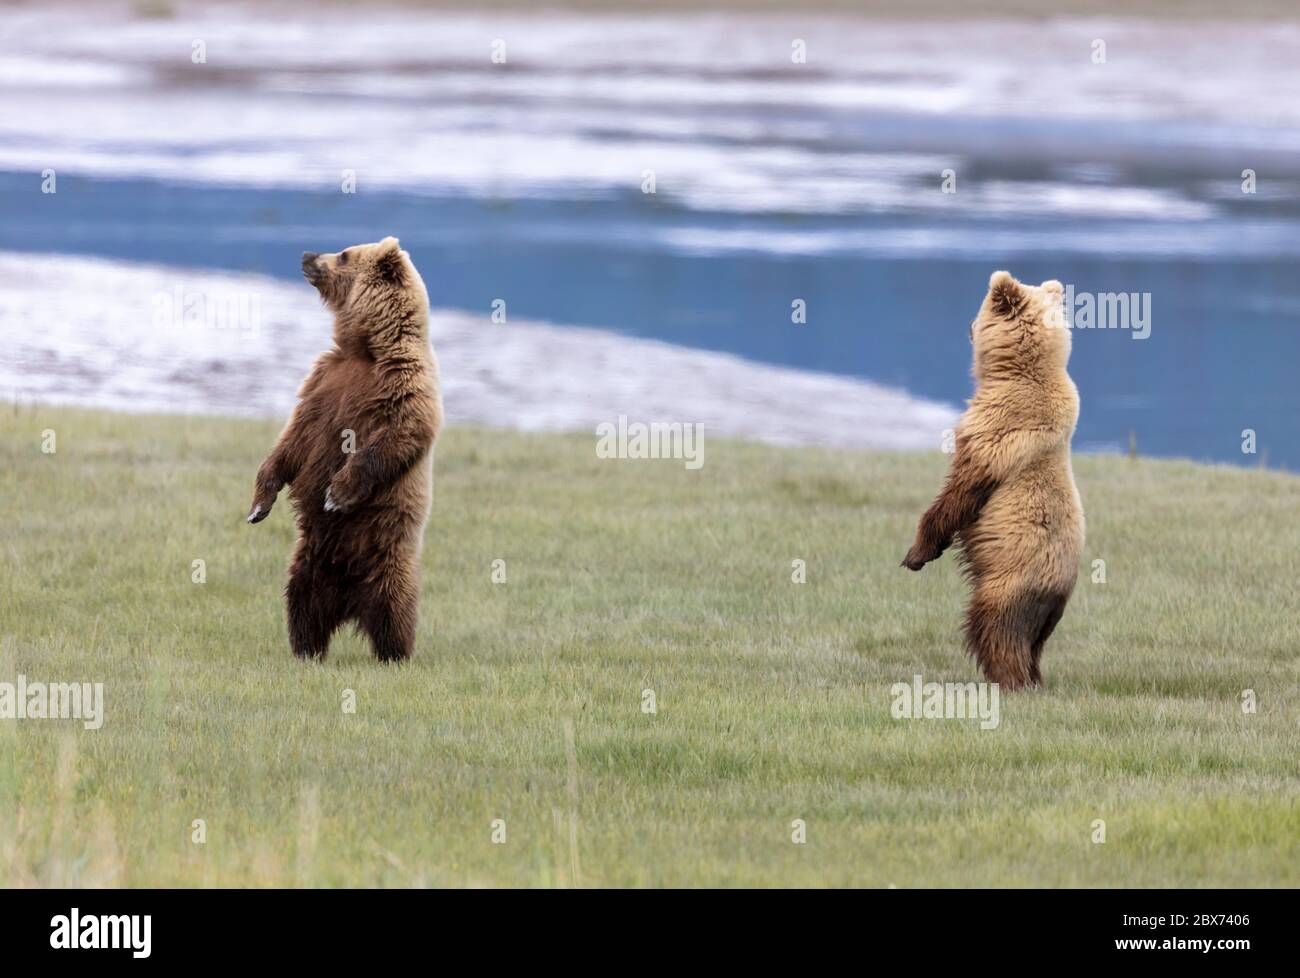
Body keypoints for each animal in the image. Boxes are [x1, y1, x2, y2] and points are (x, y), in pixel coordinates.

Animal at [246, 237, 442, 662]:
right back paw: (306, 650)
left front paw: (337, 494)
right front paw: (258, 505)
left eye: (343, 254)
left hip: (387, 558)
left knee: (395, 609)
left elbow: (397, 436)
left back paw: (393, 654)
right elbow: (293, 440)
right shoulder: (324, 384)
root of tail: (350, 605)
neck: (367, 348)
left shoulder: (404, 385)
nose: (306, 255)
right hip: (308, 563)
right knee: (301, 604)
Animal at [902, 270, 1084, 689]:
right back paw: (1033, 676)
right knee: (1032, 643)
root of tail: (1059, 591)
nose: (968, 326)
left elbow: (959, 490)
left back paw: (1008, 678)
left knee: (993, 626)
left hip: (1011, 580)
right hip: (1046, 613)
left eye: (981, 306)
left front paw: (916, 553)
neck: (1022, 373)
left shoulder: (997, 429)